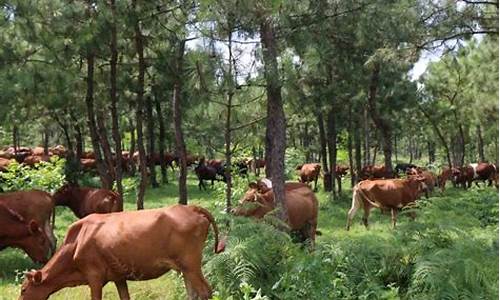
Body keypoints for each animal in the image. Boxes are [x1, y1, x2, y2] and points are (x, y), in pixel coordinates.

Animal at [18, 204, 224, 300]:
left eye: (24, 289)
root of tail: (190, 207)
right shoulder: (118, 276)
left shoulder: (94, 276)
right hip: (185, 268)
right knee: (193, 294)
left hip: (191, 264)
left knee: (205, 291)